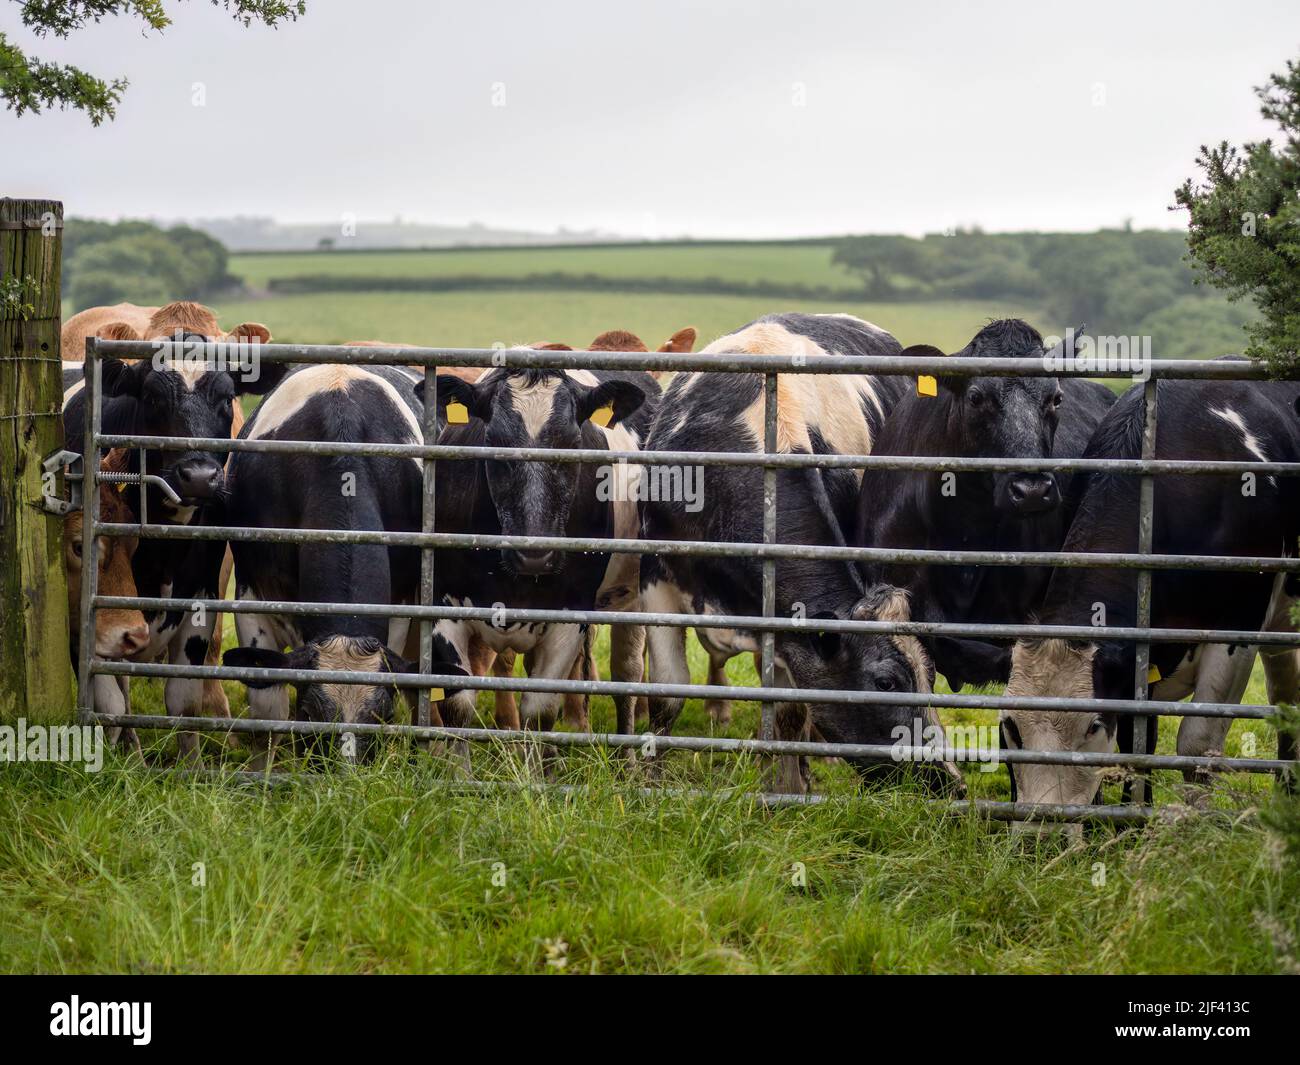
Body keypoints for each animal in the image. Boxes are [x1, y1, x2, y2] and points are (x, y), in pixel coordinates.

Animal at [62, 315, 287, 761]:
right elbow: (109, 703)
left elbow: (183, 701)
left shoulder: (199, 595)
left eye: (227, 398)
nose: (198, 477)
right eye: (152, 397)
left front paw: (192, 765)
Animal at [414, 353, 659, 760]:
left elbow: (539, 711)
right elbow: (457, 705)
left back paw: (627, 760)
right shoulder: (441, 606)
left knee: (627, 673)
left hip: (633, 602)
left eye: (573, 443)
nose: (535, 556)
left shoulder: (569, 615)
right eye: (493, 442)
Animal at [639, 312, 959, 793]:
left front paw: (788, 788)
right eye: (886, 682)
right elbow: (666, 692)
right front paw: (647, 778)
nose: (947, 781)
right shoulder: (657, 576)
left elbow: (790, 708)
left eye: (931, 676)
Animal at [1001, 372, 1300, 808]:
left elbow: (1196, 745)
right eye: (1011, 728)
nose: (1042, 825)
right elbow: (1137, 741)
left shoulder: (1239, 625)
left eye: (1092, 726)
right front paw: (1135, 814)